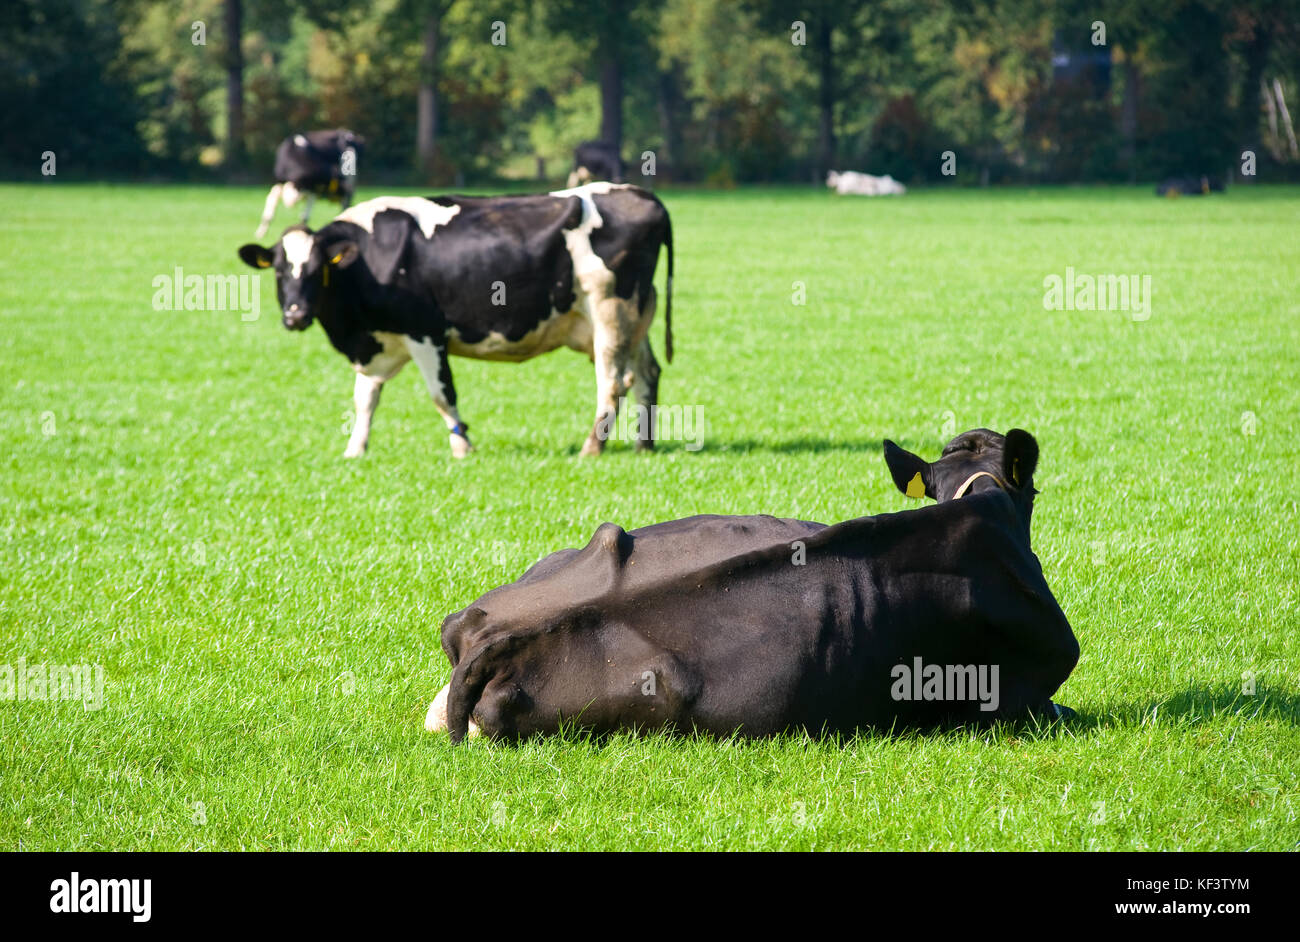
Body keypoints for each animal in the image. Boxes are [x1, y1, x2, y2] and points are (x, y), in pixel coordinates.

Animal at [237, 182, 672, 458]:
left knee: (613, 382)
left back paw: (592, 447)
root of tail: (640, 193)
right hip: (637, 316)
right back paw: (643, 445)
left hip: (611, 311)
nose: (295, 315)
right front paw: (355, 450)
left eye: (316, 272)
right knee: (647, 374)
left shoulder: (425, 332)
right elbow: (365, 399)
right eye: (280, 271)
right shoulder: (380, 339)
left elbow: (442, 394)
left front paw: (462, 447)